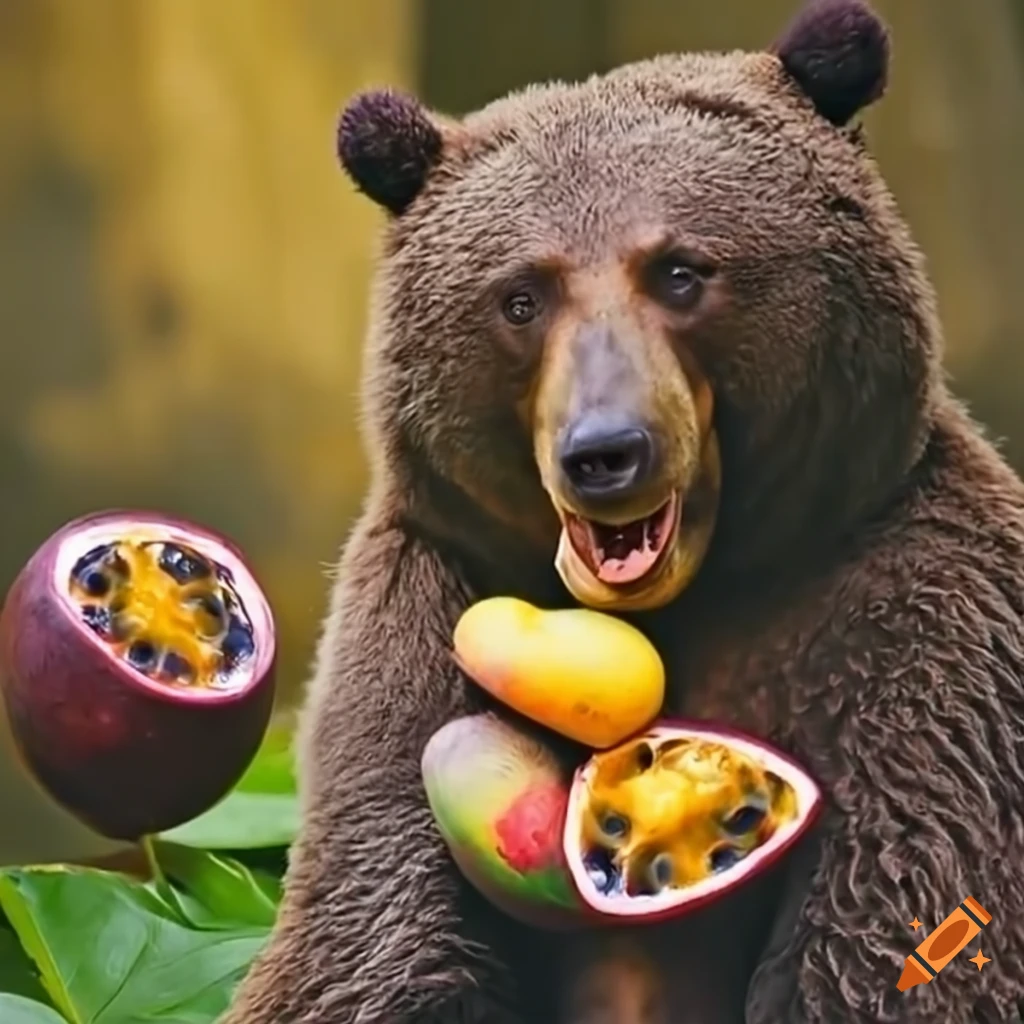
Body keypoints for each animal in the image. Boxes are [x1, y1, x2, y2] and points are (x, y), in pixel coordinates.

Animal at [222, 1, 1024, 1022]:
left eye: (680, 271)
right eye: (520, 296)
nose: (605, 451)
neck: (679, 608)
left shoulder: (916, 636)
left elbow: (893, 919)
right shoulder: (417, 623)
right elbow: (370, 941)